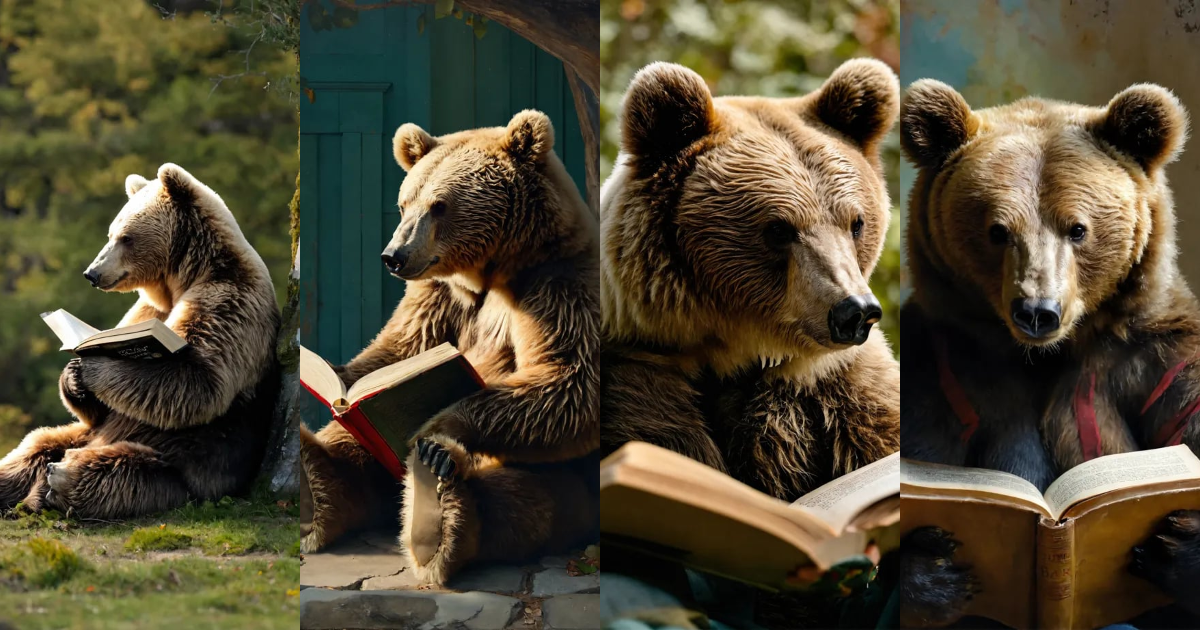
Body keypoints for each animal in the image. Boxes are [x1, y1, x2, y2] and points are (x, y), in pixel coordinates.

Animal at [0, 163, 280, 519]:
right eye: (111, 234)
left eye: (126, 237)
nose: (92, 273)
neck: (180, 278)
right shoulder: (149, 309)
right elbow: (103, 405)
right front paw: (73, 374)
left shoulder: (228, 302)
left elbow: (198, 381)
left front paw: (92, 365)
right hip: (82, 436)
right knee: (33, 448)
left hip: (182, 465)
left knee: (116, 472)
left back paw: (56, 482)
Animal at [299, 110, 600, 586]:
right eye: (405, 203)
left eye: (439, 204)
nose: (394, 256)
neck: (491, 274)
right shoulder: (438, 297)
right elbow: (396, 350)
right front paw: (329, 376)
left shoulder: (556, 286)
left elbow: (569, 379)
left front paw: (434, 431)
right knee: (348, 447)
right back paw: (316, 480)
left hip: (568, 476)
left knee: (529, 497)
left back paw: (437, 497)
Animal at [599, 59, 901, 627]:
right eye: (779, 229)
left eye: (856, 222)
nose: (855, 311)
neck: (737, 352)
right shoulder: (636, 375)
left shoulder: (844, 388)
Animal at [898, 80, 1200, 626]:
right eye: (997, 230)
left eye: (1077, 228)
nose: (1037, 311)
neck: (1044, 356)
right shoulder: (940, 371)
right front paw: (934, 568)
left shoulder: (1158, 358)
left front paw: (1175, 544)